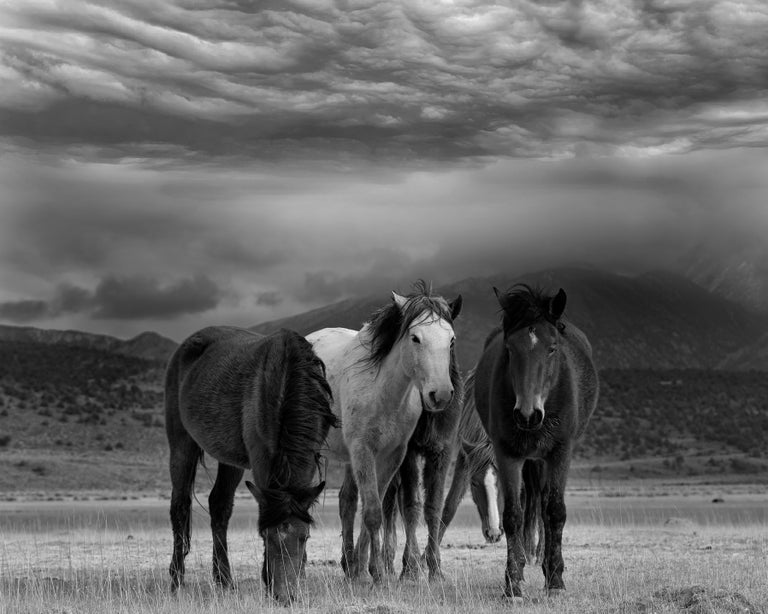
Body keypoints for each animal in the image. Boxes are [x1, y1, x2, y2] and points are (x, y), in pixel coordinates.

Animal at [164, 326, 338, 603]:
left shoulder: (311, 454)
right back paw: (177, 580)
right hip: (182, 444)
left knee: (219, 506)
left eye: (305, 537)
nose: (285, 596)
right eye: (266, 536)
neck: (285, 381)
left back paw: (224, 580)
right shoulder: (260, 457)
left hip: (230, 460)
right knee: (180, 507)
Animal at [306, 280, 462, 582]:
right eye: (415, 338)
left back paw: (350, 564)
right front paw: (374, 573)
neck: (383, 392)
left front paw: (370, 570)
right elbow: (374, 512)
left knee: (346, 501)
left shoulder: (395, 455)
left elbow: (378, 507)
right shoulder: (364, 450)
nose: (440, 395)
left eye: (451, 340)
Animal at [473, 285, 598, 599]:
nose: (527, 415)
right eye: (509, 348)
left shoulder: (560, 453)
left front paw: (555, 581)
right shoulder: (507, 453)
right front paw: (513, 584)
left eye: (552, 348)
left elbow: (555, 511)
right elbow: (513, 515)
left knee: (544, 504)